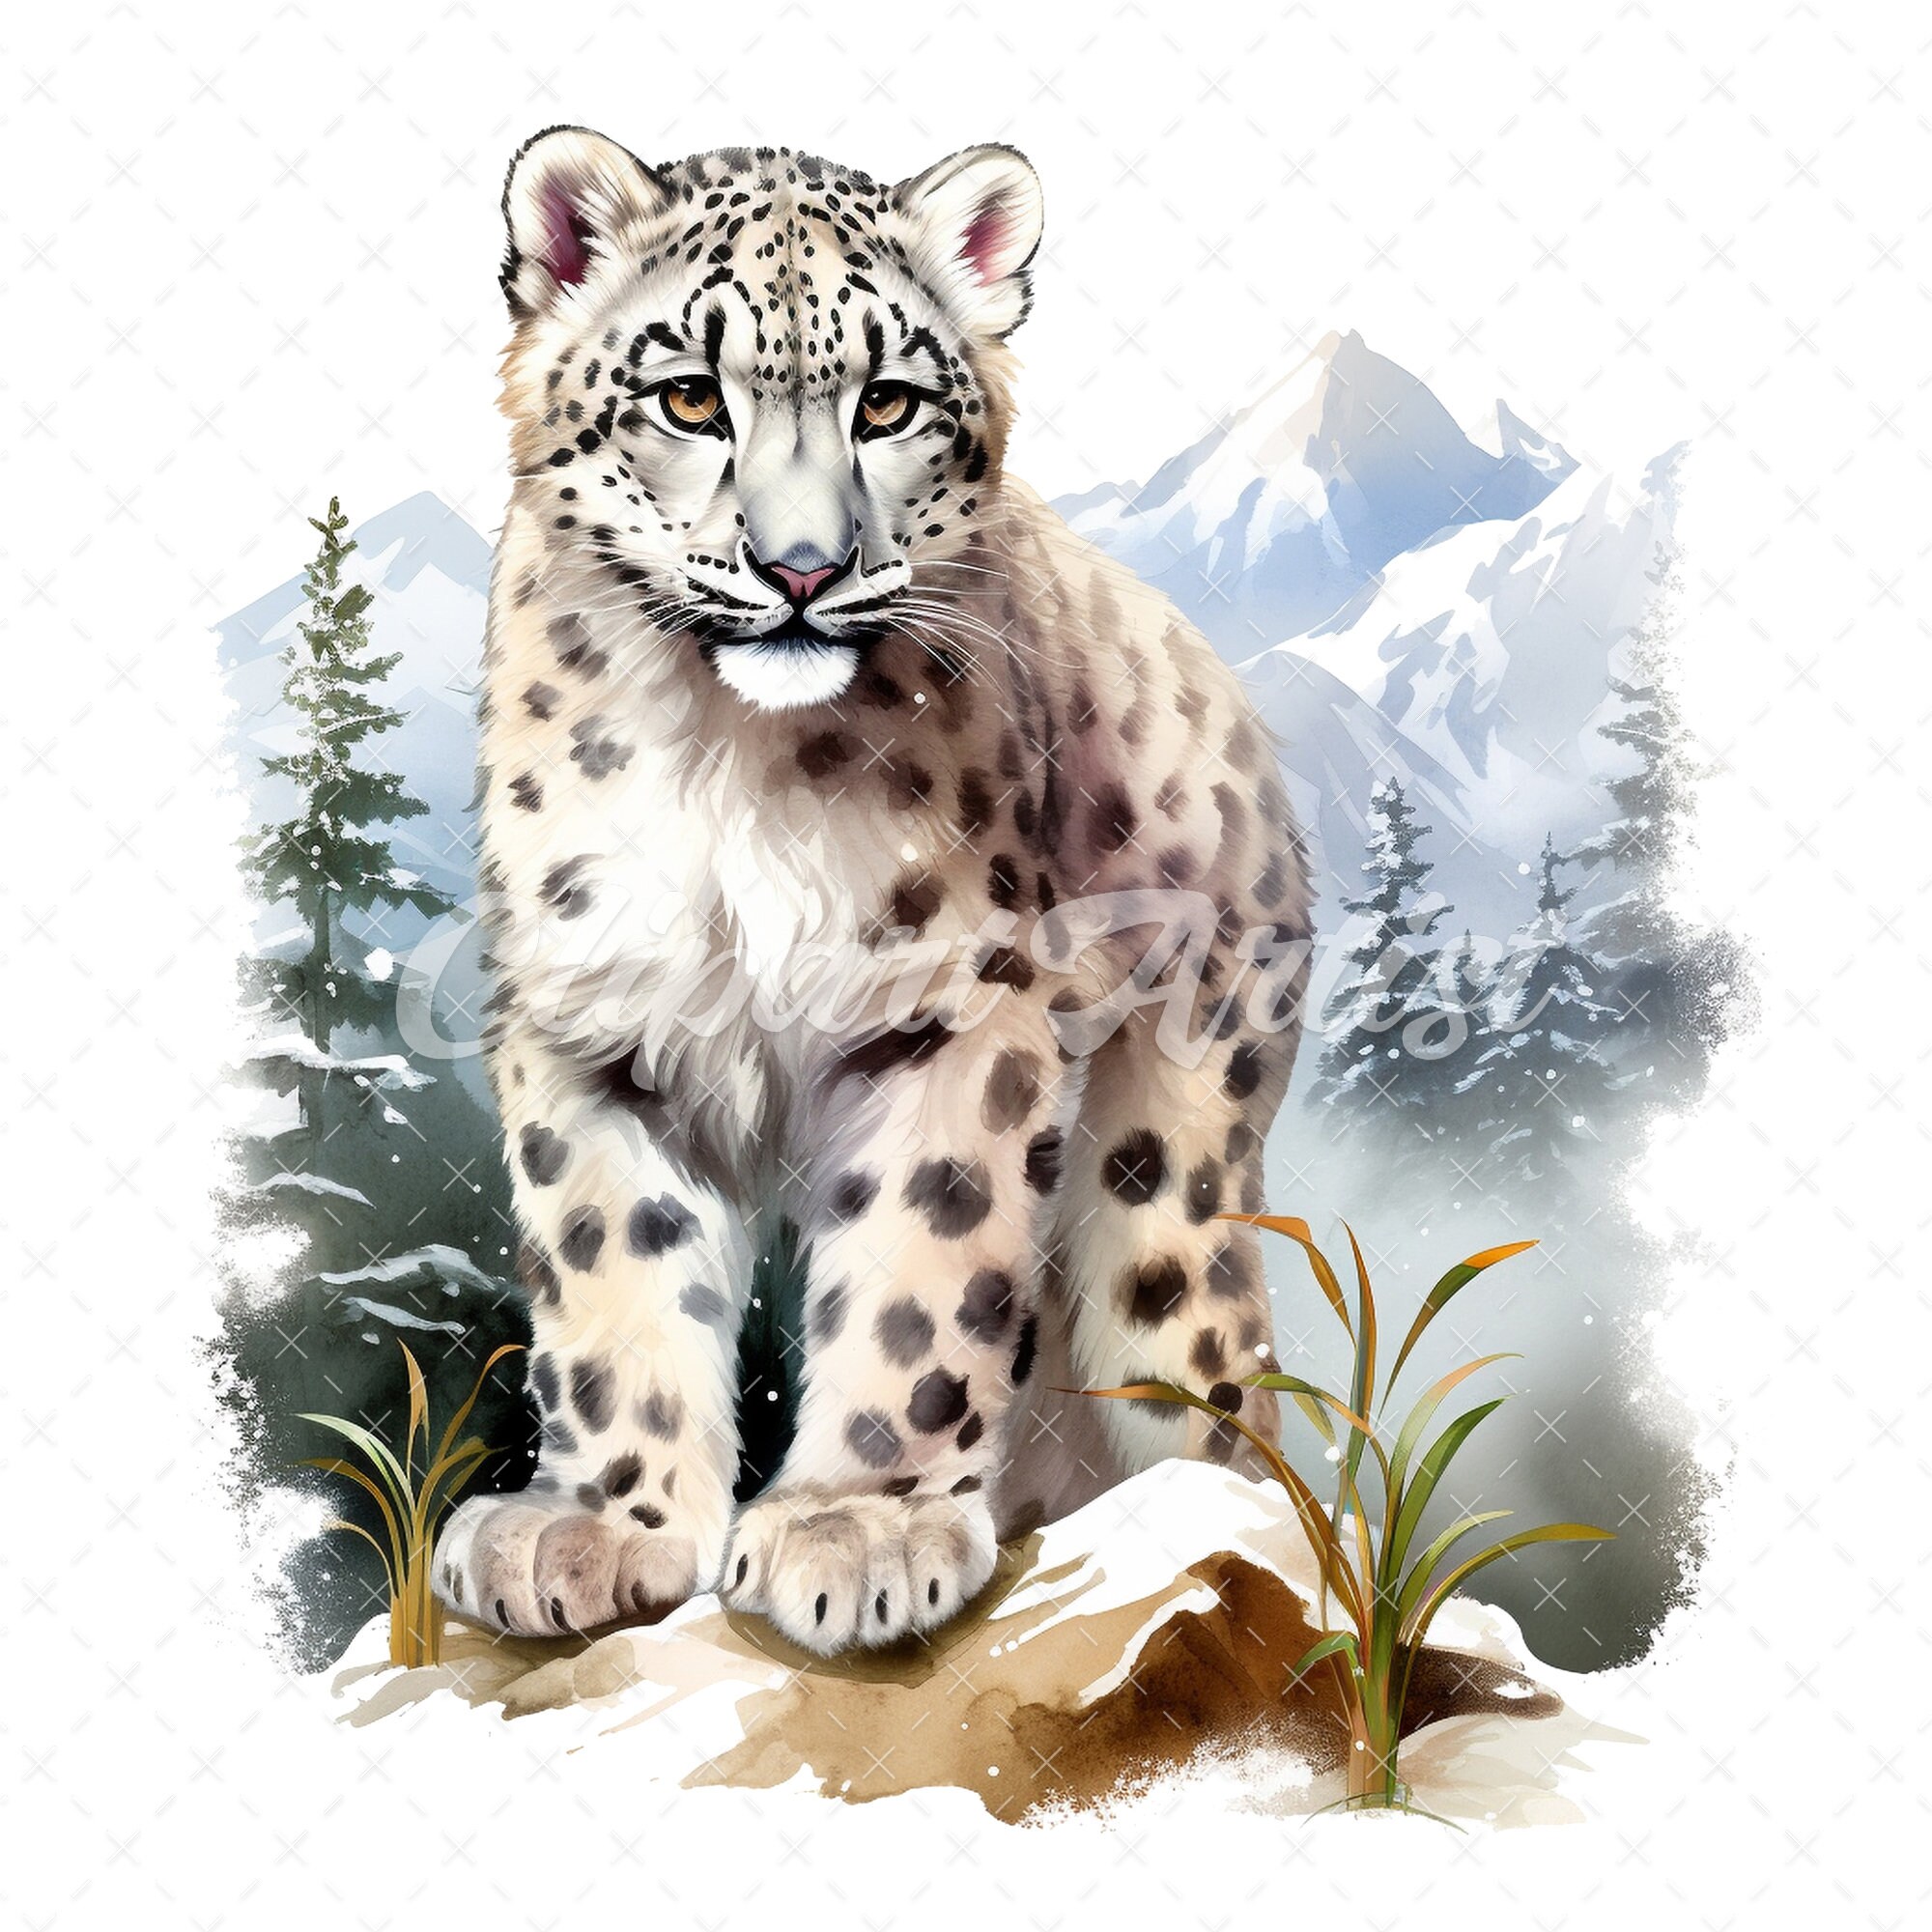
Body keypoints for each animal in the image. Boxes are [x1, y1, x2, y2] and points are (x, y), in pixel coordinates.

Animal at [431, 126, 1313, 1656]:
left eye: (889, 400)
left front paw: (859, 1525)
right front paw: (603, 1525)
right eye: (688, 392)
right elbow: (613, 1269)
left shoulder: (953, 1002)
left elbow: (921, 1264)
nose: (802, 568)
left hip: (1171, 1158)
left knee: (1206, 1382)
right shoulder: (591, 1012)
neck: (726, 758)